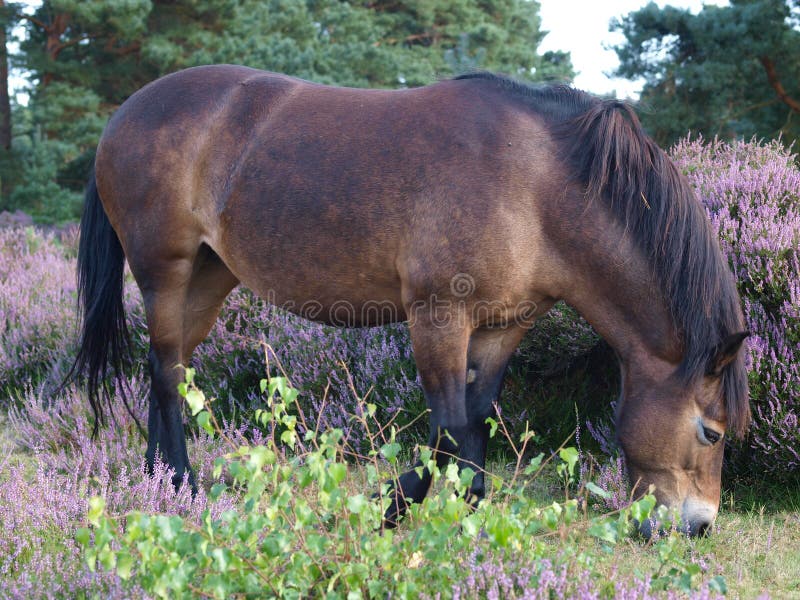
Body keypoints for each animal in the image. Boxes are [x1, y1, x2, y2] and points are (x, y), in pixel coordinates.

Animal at [69, 65, 750, 537]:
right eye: (712, 432)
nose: (697, 527)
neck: (535, 184)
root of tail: (127, 113)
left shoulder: (503, 327)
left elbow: (475, 433)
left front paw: (464, 525)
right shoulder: (438, 318)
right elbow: (449, 435)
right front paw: (380, 516)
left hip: (210, 277)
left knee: (170, 369)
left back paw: (159, 484)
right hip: (165, 270)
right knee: (164, 373)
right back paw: (182, 487)